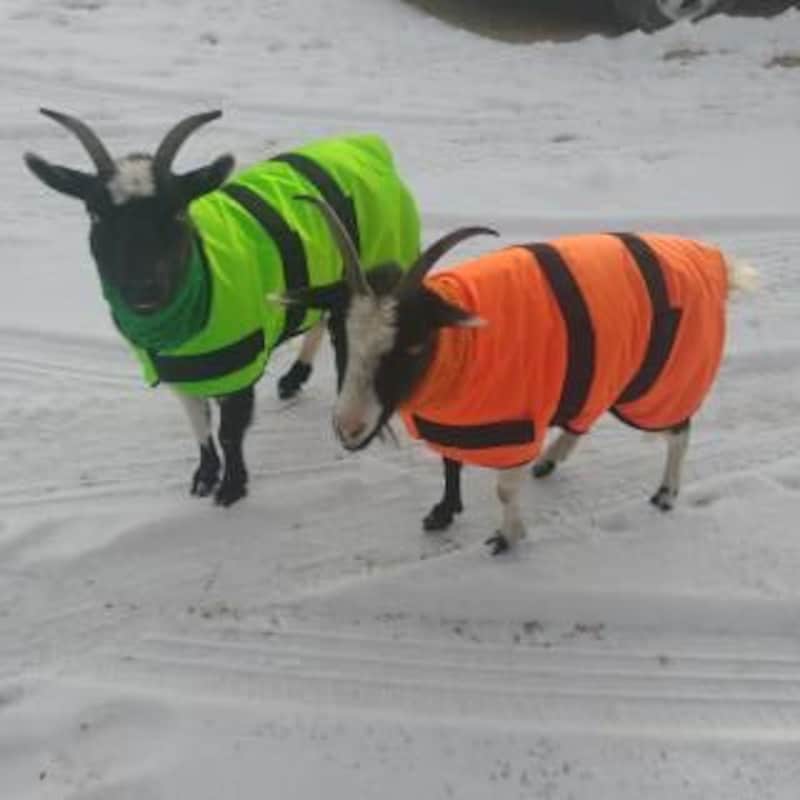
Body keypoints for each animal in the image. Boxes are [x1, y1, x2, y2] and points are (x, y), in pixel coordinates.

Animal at [24, 110, 420, 506]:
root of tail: (369, 146)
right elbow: (199, 424)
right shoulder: (180, 370)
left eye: (177, 213)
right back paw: (294, 378)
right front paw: (204, 477)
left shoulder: (240, 364)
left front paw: (232, 487)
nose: (143, 289)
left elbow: (230, 431)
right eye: (95, 215)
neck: (203, 285)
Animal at [285, 195, 757, 554]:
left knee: (679, 429)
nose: (349, 427)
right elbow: (450, 463)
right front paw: (442, 513)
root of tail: (712, 262)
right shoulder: (457, 420)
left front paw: (508, 537)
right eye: (338, 335)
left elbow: (504, 490)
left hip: (659, 381)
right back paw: (551, 460)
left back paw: (666, 493)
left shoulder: (515, 423)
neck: (462, 347)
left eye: (414, 343)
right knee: (585, 415)